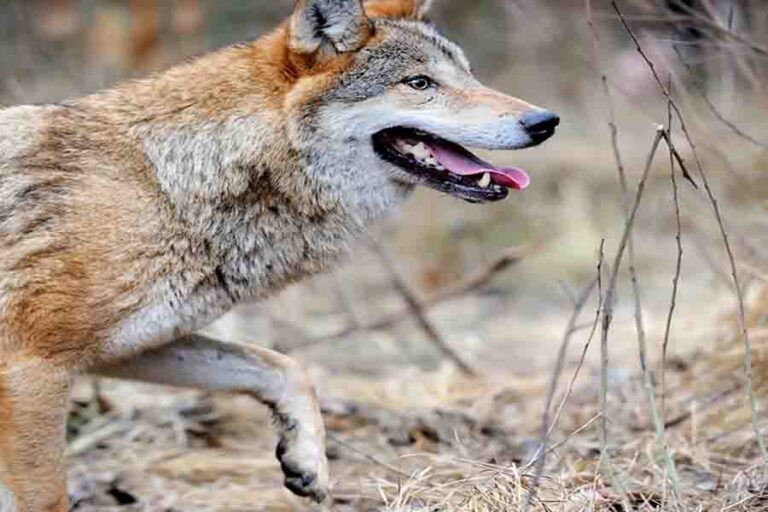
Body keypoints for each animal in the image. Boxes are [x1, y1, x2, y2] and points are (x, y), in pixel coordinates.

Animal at [0, 0, 559, 509]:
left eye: (469, 74)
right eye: (419, 83)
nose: (545, 121)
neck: (169, 182)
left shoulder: (128, 349)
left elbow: (285, 367)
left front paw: (306, 458)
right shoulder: (32, 368)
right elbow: (48, 500)